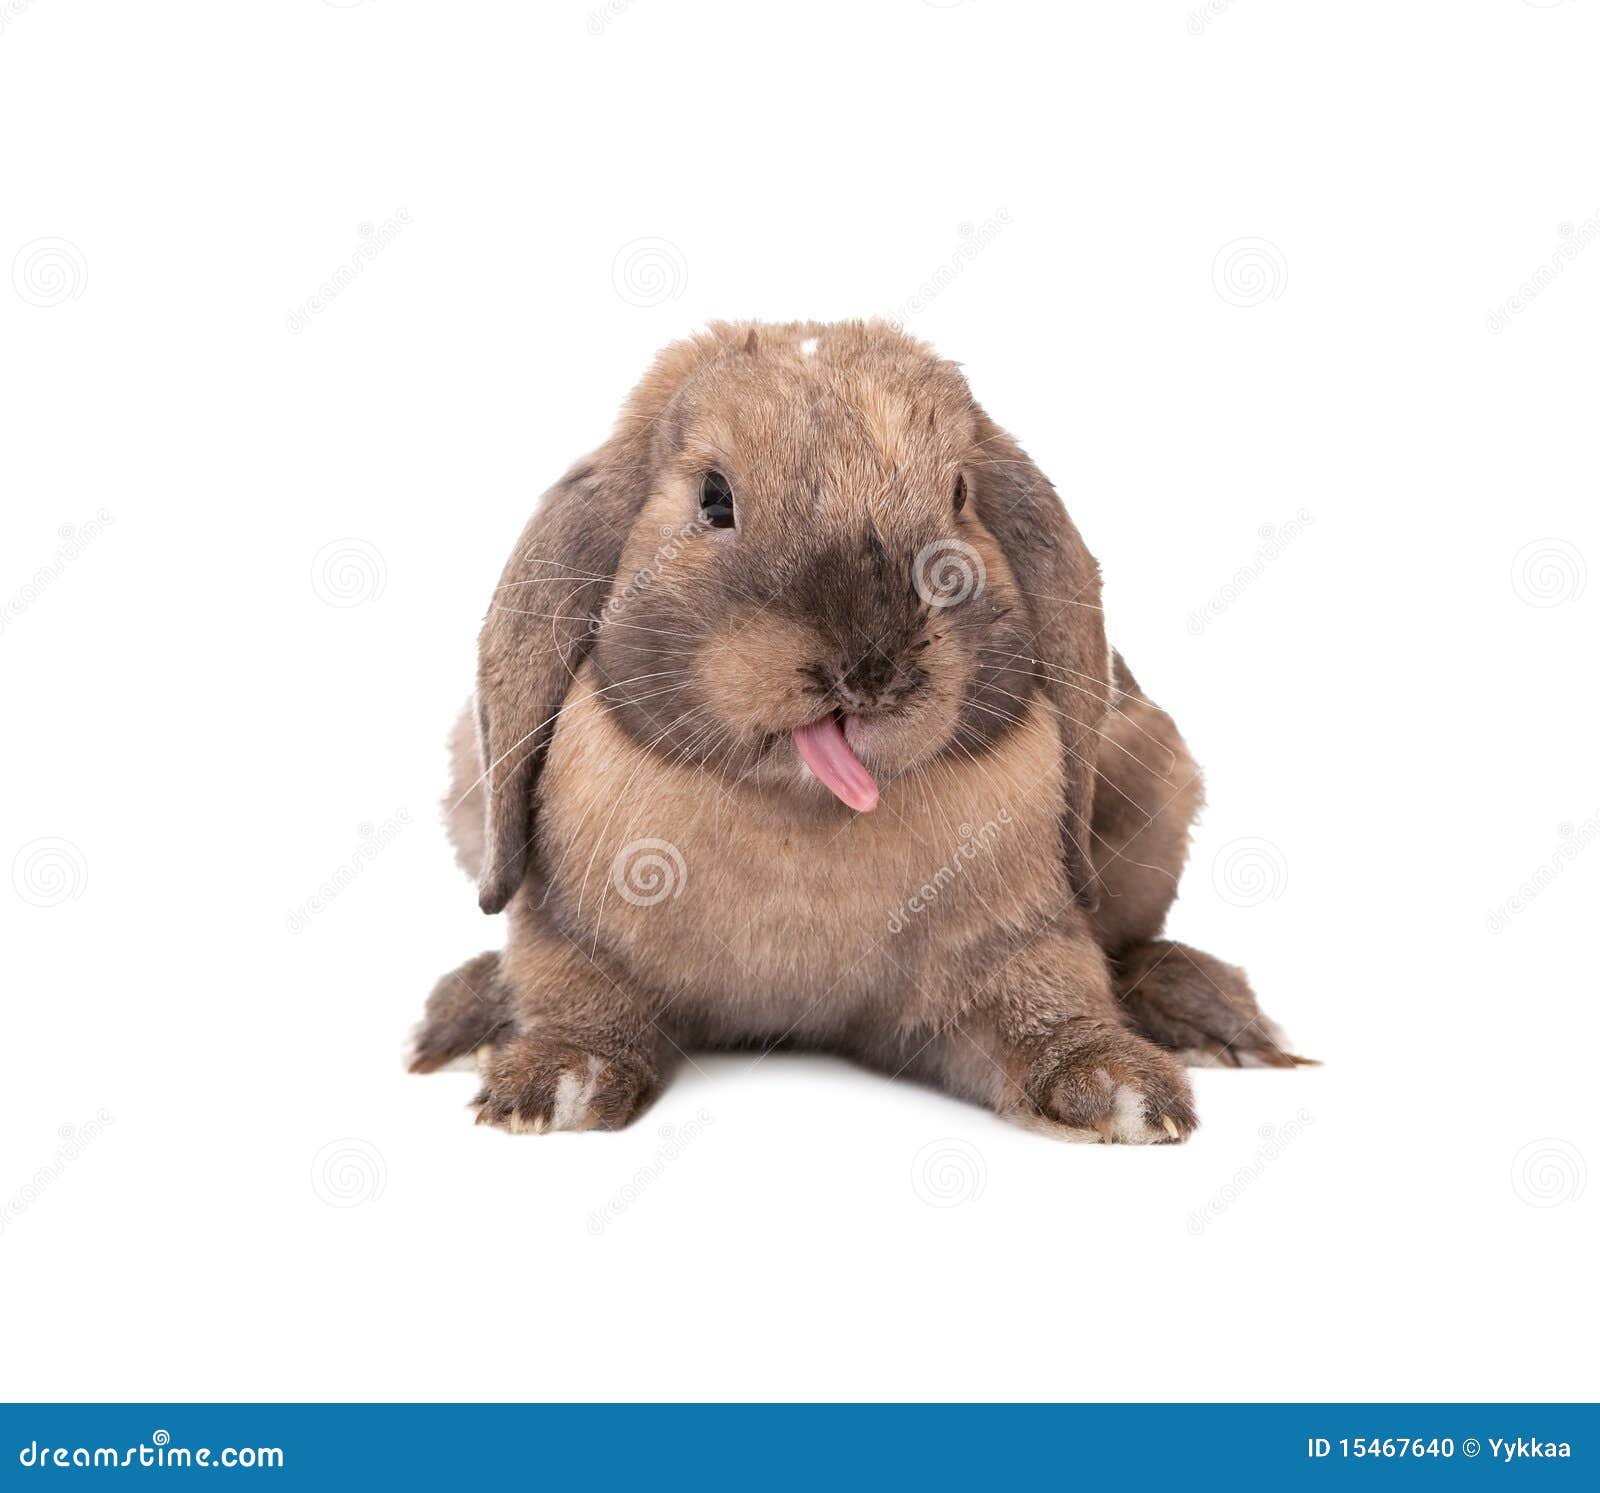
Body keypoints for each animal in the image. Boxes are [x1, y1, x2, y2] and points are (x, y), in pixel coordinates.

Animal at [410, 319, 1309, 1143]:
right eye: (714, 497)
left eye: (960, 494)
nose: (869, 666)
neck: (802, 813)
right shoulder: (568, 929)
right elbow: (575, 996)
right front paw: (552, 1080)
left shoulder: (1016, 945)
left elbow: (1048, 1003)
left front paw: (1120, 1087)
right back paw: (462, 1020)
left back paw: (1211, 1019)